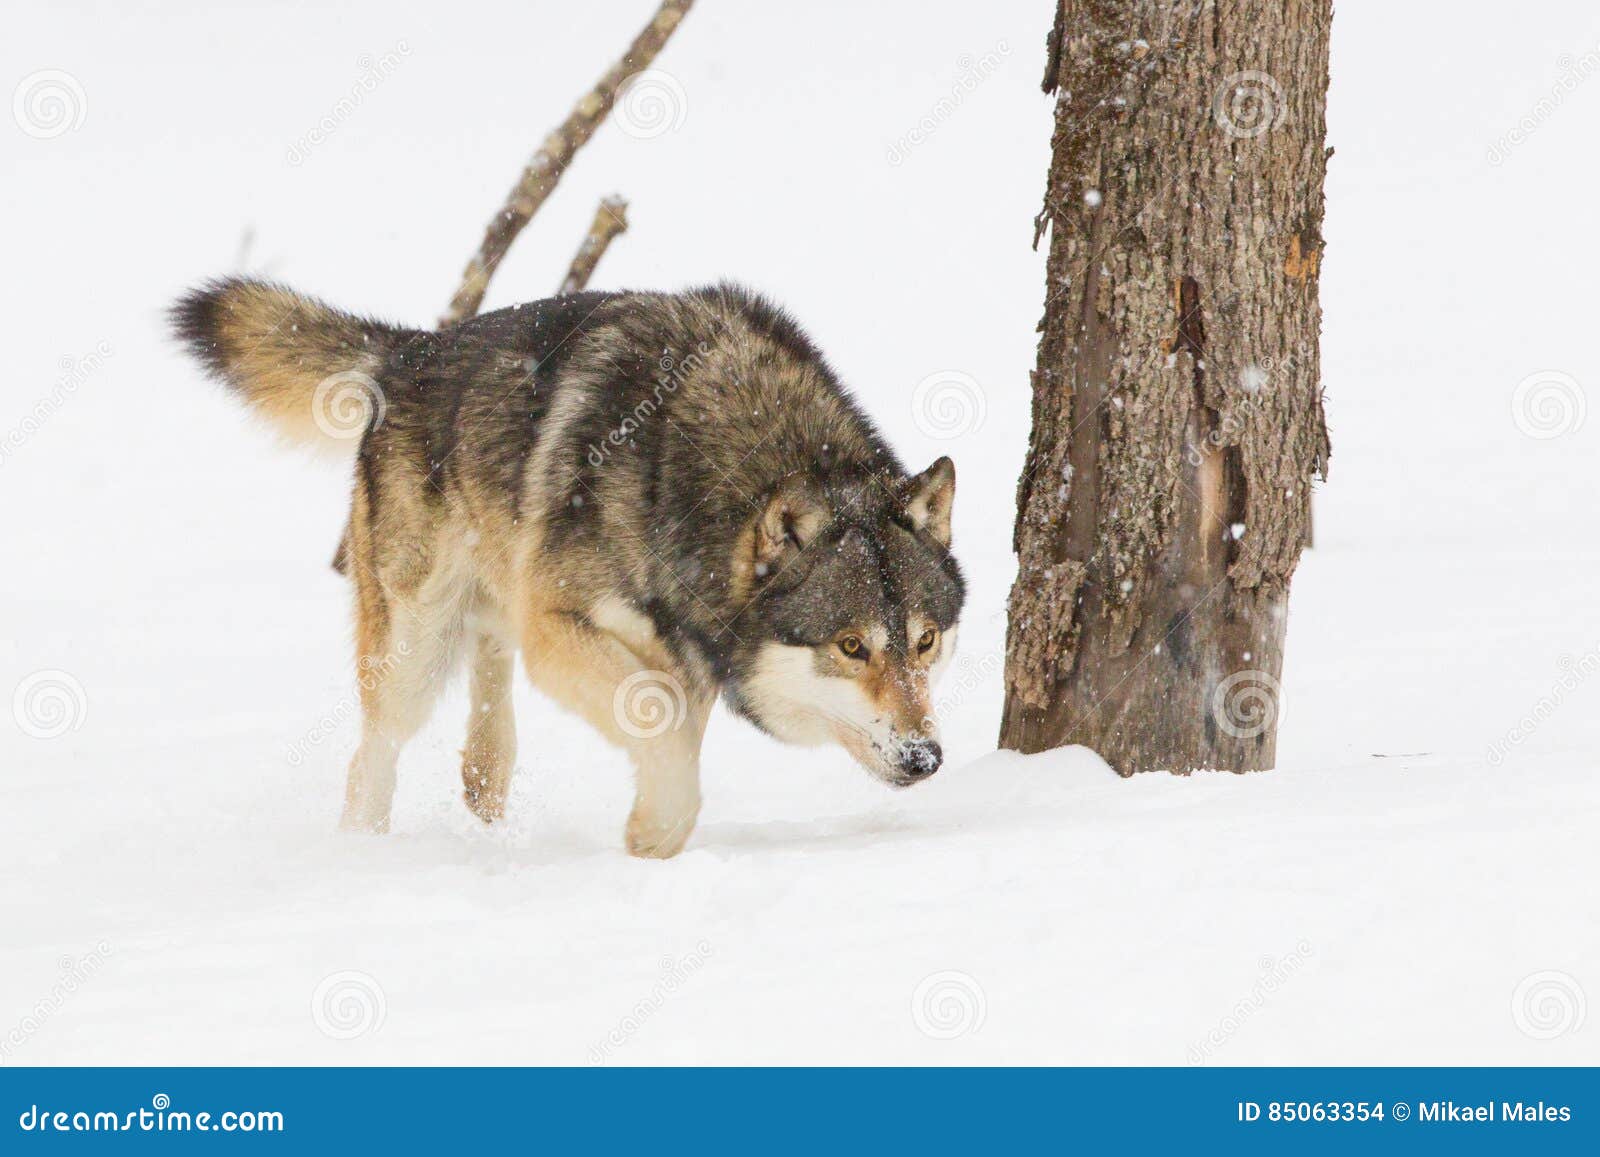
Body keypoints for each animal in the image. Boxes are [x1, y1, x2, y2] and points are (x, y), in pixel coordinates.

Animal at [171, 279, 964, 857]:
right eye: (852, 646)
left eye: (926, 640)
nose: (924, 757)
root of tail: (411, 350)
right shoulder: (561, 630)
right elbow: (662, 723)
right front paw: (652, 834)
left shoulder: (682, 657)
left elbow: (673, 730)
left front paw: (654, 836)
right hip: (416, 651)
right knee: (373, 754)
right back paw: (361, 855)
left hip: (494, 608)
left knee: (486, 730)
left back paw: (484, 795)